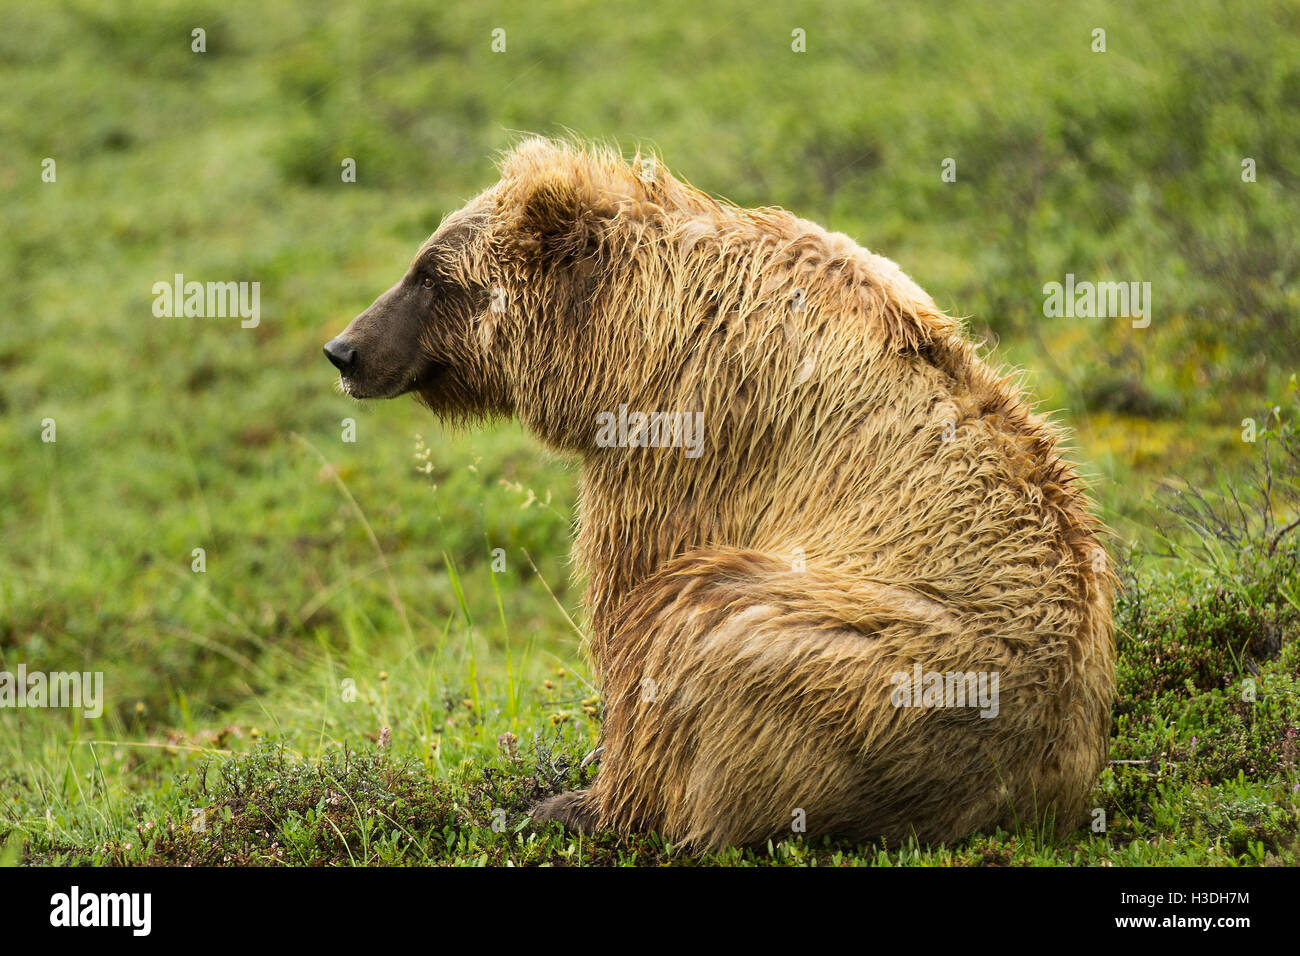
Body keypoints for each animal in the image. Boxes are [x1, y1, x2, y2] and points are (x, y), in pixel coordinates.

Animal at [323, 137, 1116, 850]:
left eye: (431, 275)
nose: (344, 350)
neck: (626, 327)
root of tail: (1038, 789)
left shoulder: (687, 437)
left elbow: (631, 600)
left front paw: (587, 794)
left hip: (892, 669)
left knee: (702, 616)